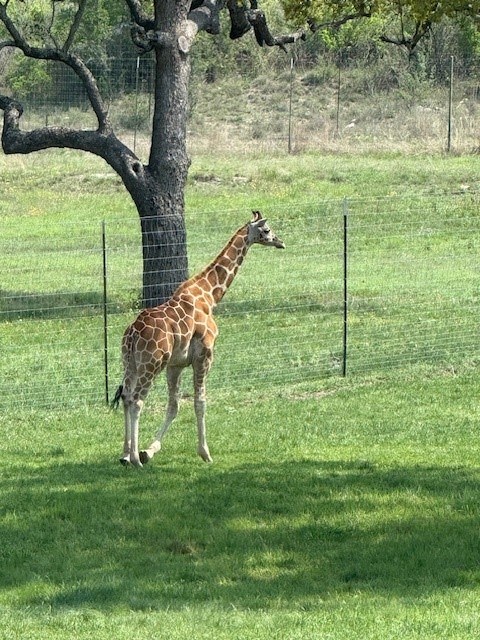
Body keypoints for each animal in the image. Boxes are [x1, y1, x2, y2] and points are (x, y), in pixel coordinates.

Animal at [113, 210, 285, 467]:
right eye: (266, 230)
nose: (280, 242)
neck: (210, 296)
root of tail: (132, 333)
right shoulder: (204, 355)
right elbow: (200, 402)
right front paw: (205, 452)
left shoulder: (175, 365)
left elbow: (174, 405)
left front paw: (150, 450)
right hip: (151, 364)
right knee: (137, 400)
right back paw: (134, 459)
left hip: (130, 362)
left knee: (125, 396)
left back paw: (126, 454)